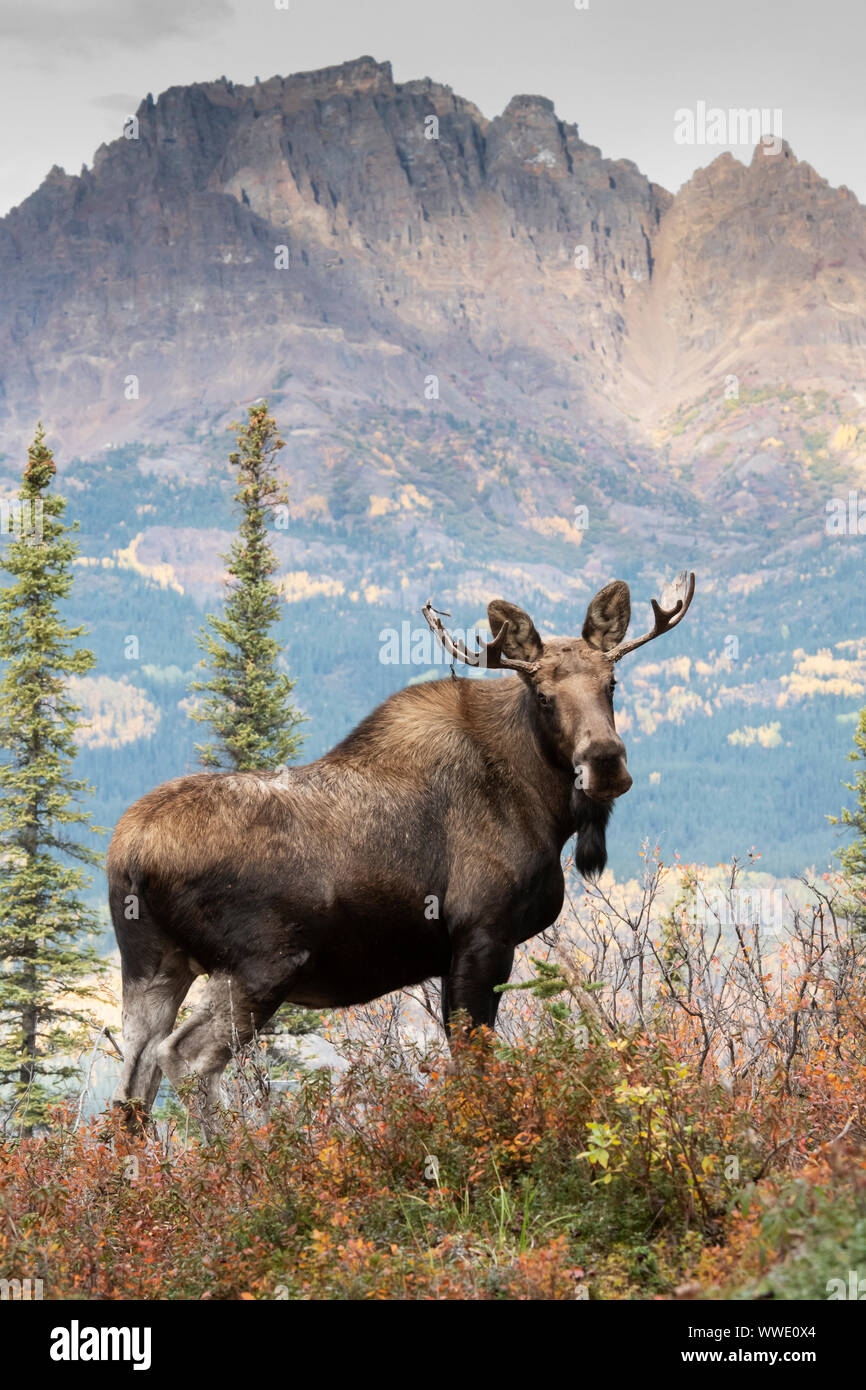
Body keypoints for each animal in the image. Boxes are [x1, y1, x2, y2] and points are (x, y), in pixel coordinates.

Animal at [108, 571, 695, 1133]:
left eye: (611, 684)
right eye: (546, 697)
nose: (605, 762)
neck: (543, 807)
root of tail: (128, 855)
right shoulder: (483, 932)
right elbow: (473, 1065)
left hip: (151, 966)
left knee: (133, 1086)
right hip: (262, 962)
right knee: (184, 1058)